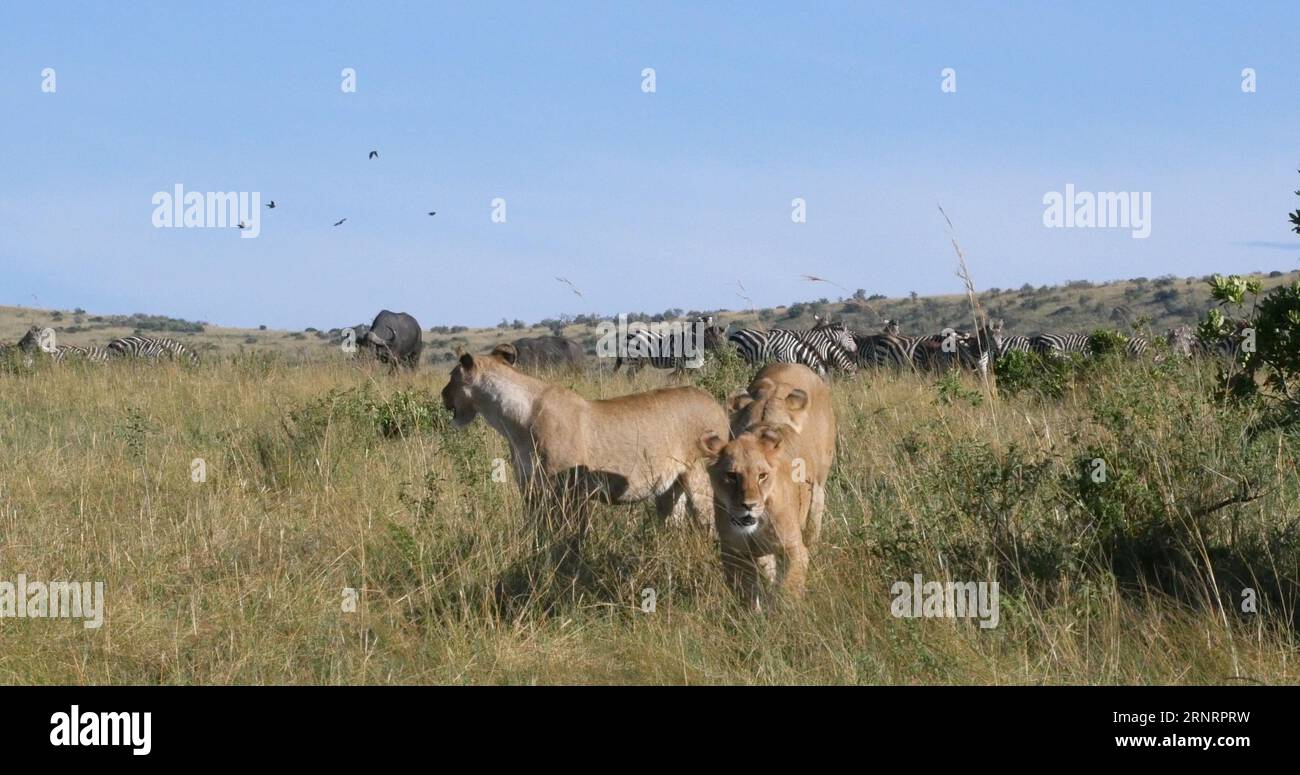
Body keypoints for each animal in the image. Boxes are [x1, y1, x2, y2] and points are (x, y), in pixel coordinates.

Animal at [440, 343, 727, 557]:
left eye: (451, 378)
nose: (442, 395)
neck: (512, 422)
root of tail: (715, 402)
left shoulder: (571, 493)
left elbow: (572, 538)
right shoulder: (532, 492)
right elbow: (536, 533)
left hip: (701, 481)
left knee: (712, 526)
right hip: (669, 490)